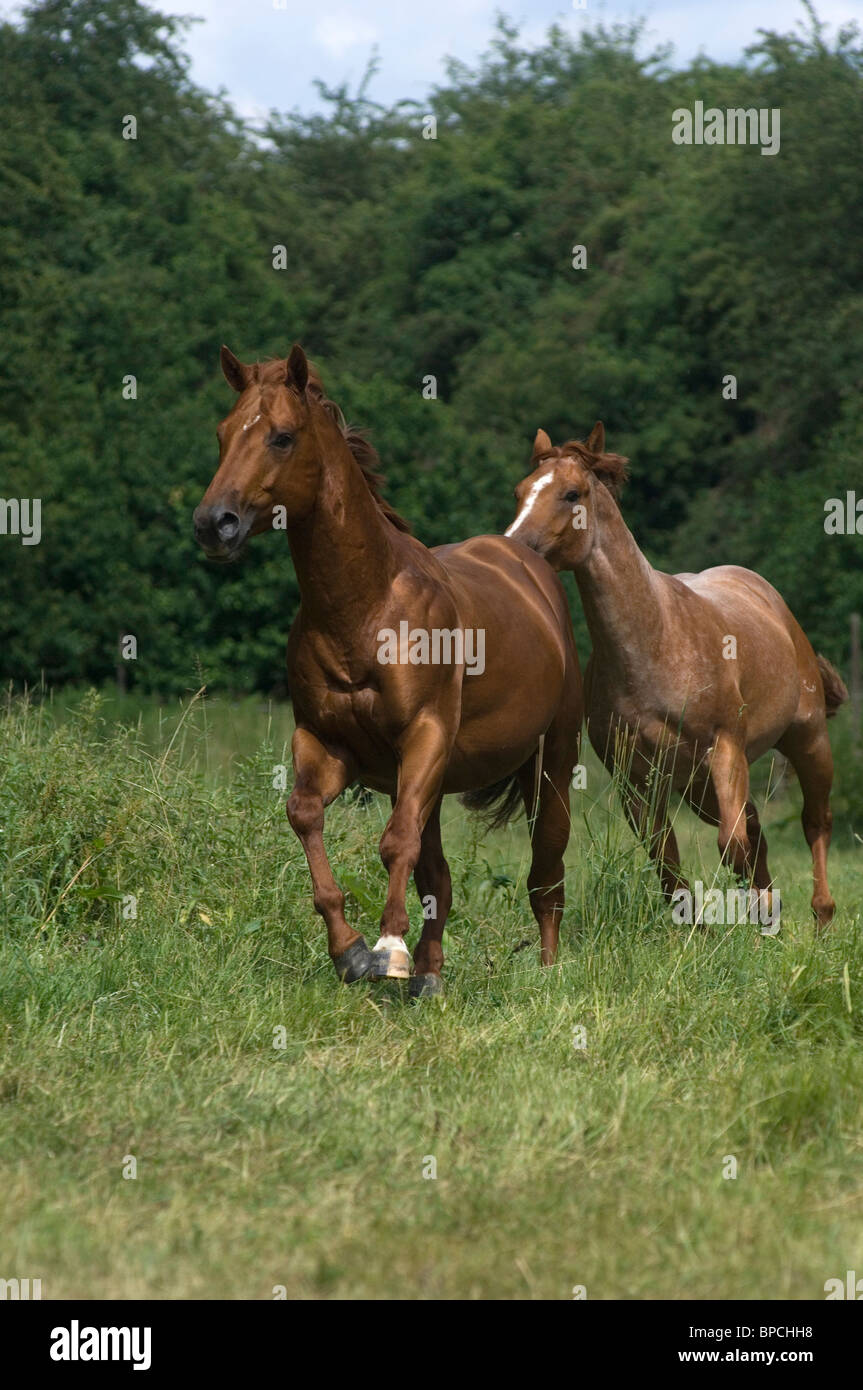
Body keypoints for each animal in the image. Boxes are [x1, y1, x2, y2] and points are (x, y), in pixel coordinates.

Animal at [193, 345, 583, 994]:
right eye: (222, 433)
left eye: (281, 436)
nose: (213, 523)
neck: (367, 609)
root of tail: (529, 565)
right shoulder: (328, 745)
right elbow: (305, 815)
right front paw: (350, 950)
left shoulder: (424, 736)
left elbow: (395, 842)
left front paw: (389, 950)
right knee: (440, 876)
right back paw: (431, 978)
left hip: (550, 761)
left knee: (545, 874)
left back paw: (547, 975)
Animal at [505, 424, 848, 928]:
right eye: (521, 491)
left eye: (572, 493)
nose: (513, 549)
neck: (657, 644)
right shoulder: (636, 779)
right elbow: (667, 861)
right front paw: (704, 931)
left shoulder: (725, 750)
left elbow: (731, 847)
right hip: (698, 786)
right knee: (757, 833)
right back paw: (769, 920)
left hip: (806, 740)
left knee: (813, 823)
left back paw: (819, 917)